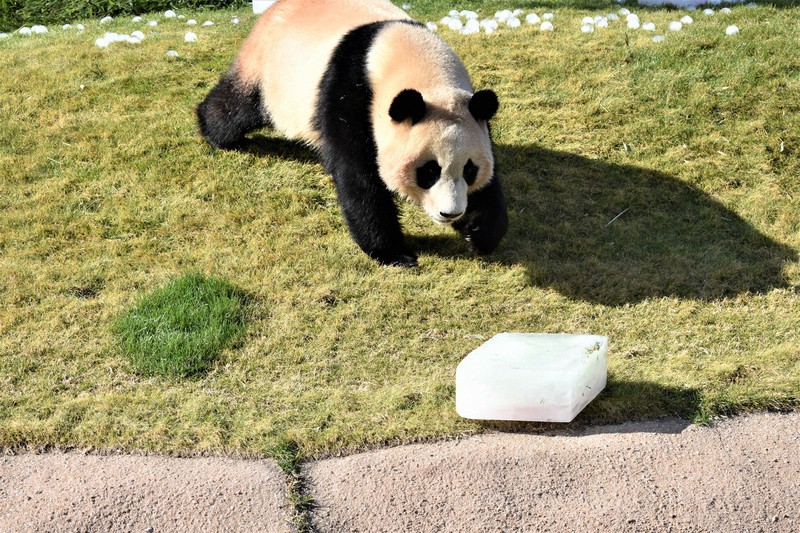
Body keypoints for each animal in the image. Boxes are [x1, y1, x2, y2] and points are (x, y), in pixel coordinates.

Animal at [197, 0, 508, 267]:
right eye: (429, 171)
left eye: (469, 170)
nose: (450, 213)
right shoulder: (348, 92)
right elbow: (357, 174)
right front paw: (394, 252)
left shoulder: (471, 113)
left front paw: (479, 234)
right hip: (269, 70)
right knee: (235, 107)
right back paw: (213, 131)